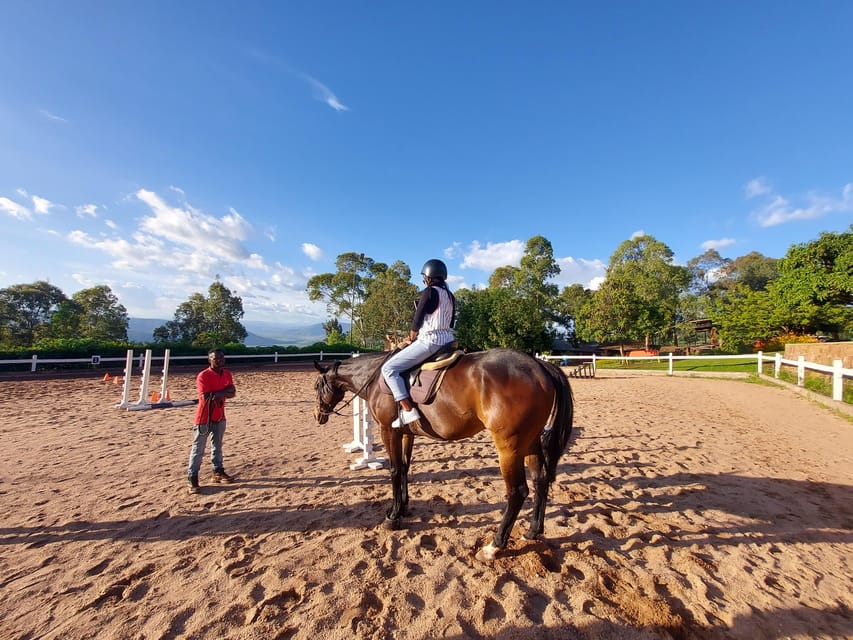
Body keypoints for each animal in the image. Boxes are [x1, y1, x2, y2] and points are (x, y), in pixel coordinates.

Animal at [313, 348, 574, 561]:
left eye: (317, 387)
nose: (318, 415)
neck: (377, 378)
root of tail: (539, 366)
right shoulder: (405, 433)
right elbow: (405, 467)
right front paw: (403, 507)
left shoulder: (389, 431)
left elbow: (395, 469)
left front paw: (393, 516)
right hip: (529, 443)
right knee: (540, 480)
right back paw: (532, 531)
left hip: (509, 447)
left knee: (517, 492)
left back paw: (494, 546)